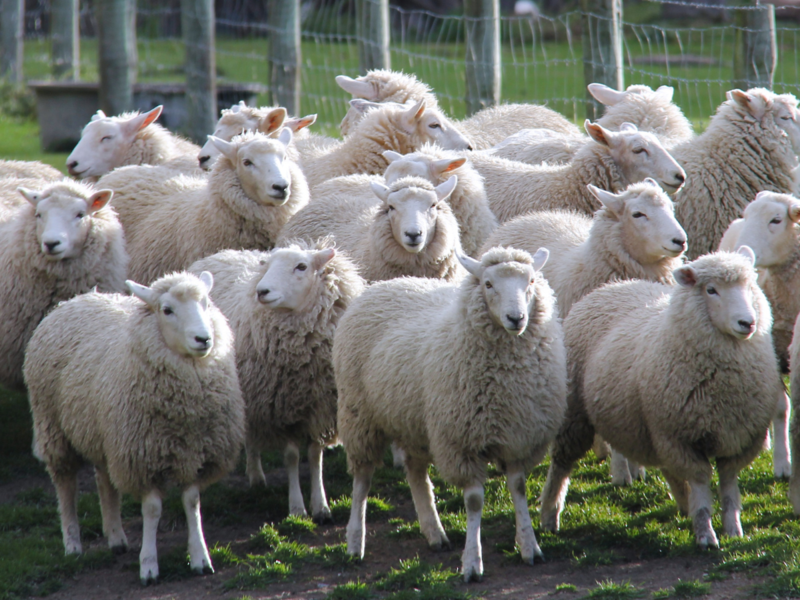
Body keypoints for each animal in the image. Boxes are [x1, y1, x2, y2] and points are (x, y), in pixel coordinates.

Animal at [23, 271, 245, 584]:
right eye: (167, 310)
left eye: (205, 302)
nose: (204, 339)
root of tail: (77, 299)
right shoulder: (143, 457)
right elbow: (152, 510)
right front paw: (148, 565)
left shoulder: (194, 453)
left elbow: (192, 502)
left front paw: (200, 557)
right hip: (52, 426)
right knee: (65, 485)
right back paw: (73, 543)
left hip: (104, 431)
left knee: (104, 480)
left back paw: (116, 537)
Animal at [188, 240, 365, 522]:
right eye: (269, 265)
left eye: (301, 266)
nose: (261, 291)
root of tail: (221, 253)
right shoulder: (282, 408)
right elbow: (292, 457)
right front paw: (297, 507)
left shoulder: (318, 408)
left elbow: (315, 455)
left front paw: (321, 505)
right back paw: (255, 476)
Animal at [334, 247, 567, 581]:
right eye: (487, 284)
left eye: (531, 281)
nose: (516, 318)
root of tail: (382, 285)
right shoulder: (462, 442)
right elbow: (474, 501)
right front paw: (472, 562)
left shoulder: (518, 436)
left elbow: (518, 488)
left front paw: (529, 546)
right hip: (359, 416)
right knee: (363, 480)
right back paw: (355, 543)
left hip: (413, 421)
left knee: (416, 472)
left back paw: (434, 533)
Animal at [540, 248, 783, 549]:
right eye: (711, 290)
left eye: (750, 286)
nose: (747, 322)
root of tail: (611, 287)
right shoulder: (680, 438)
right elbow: (701, 480)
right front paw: (706, 534)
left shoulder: (738, 437)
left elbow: (728, 487)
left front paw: (733, 530)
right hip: (576, 414)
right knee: (561, 464)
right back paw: (549, 515)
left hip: (649, 426)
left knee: (666, 466)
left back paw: (683, 503)